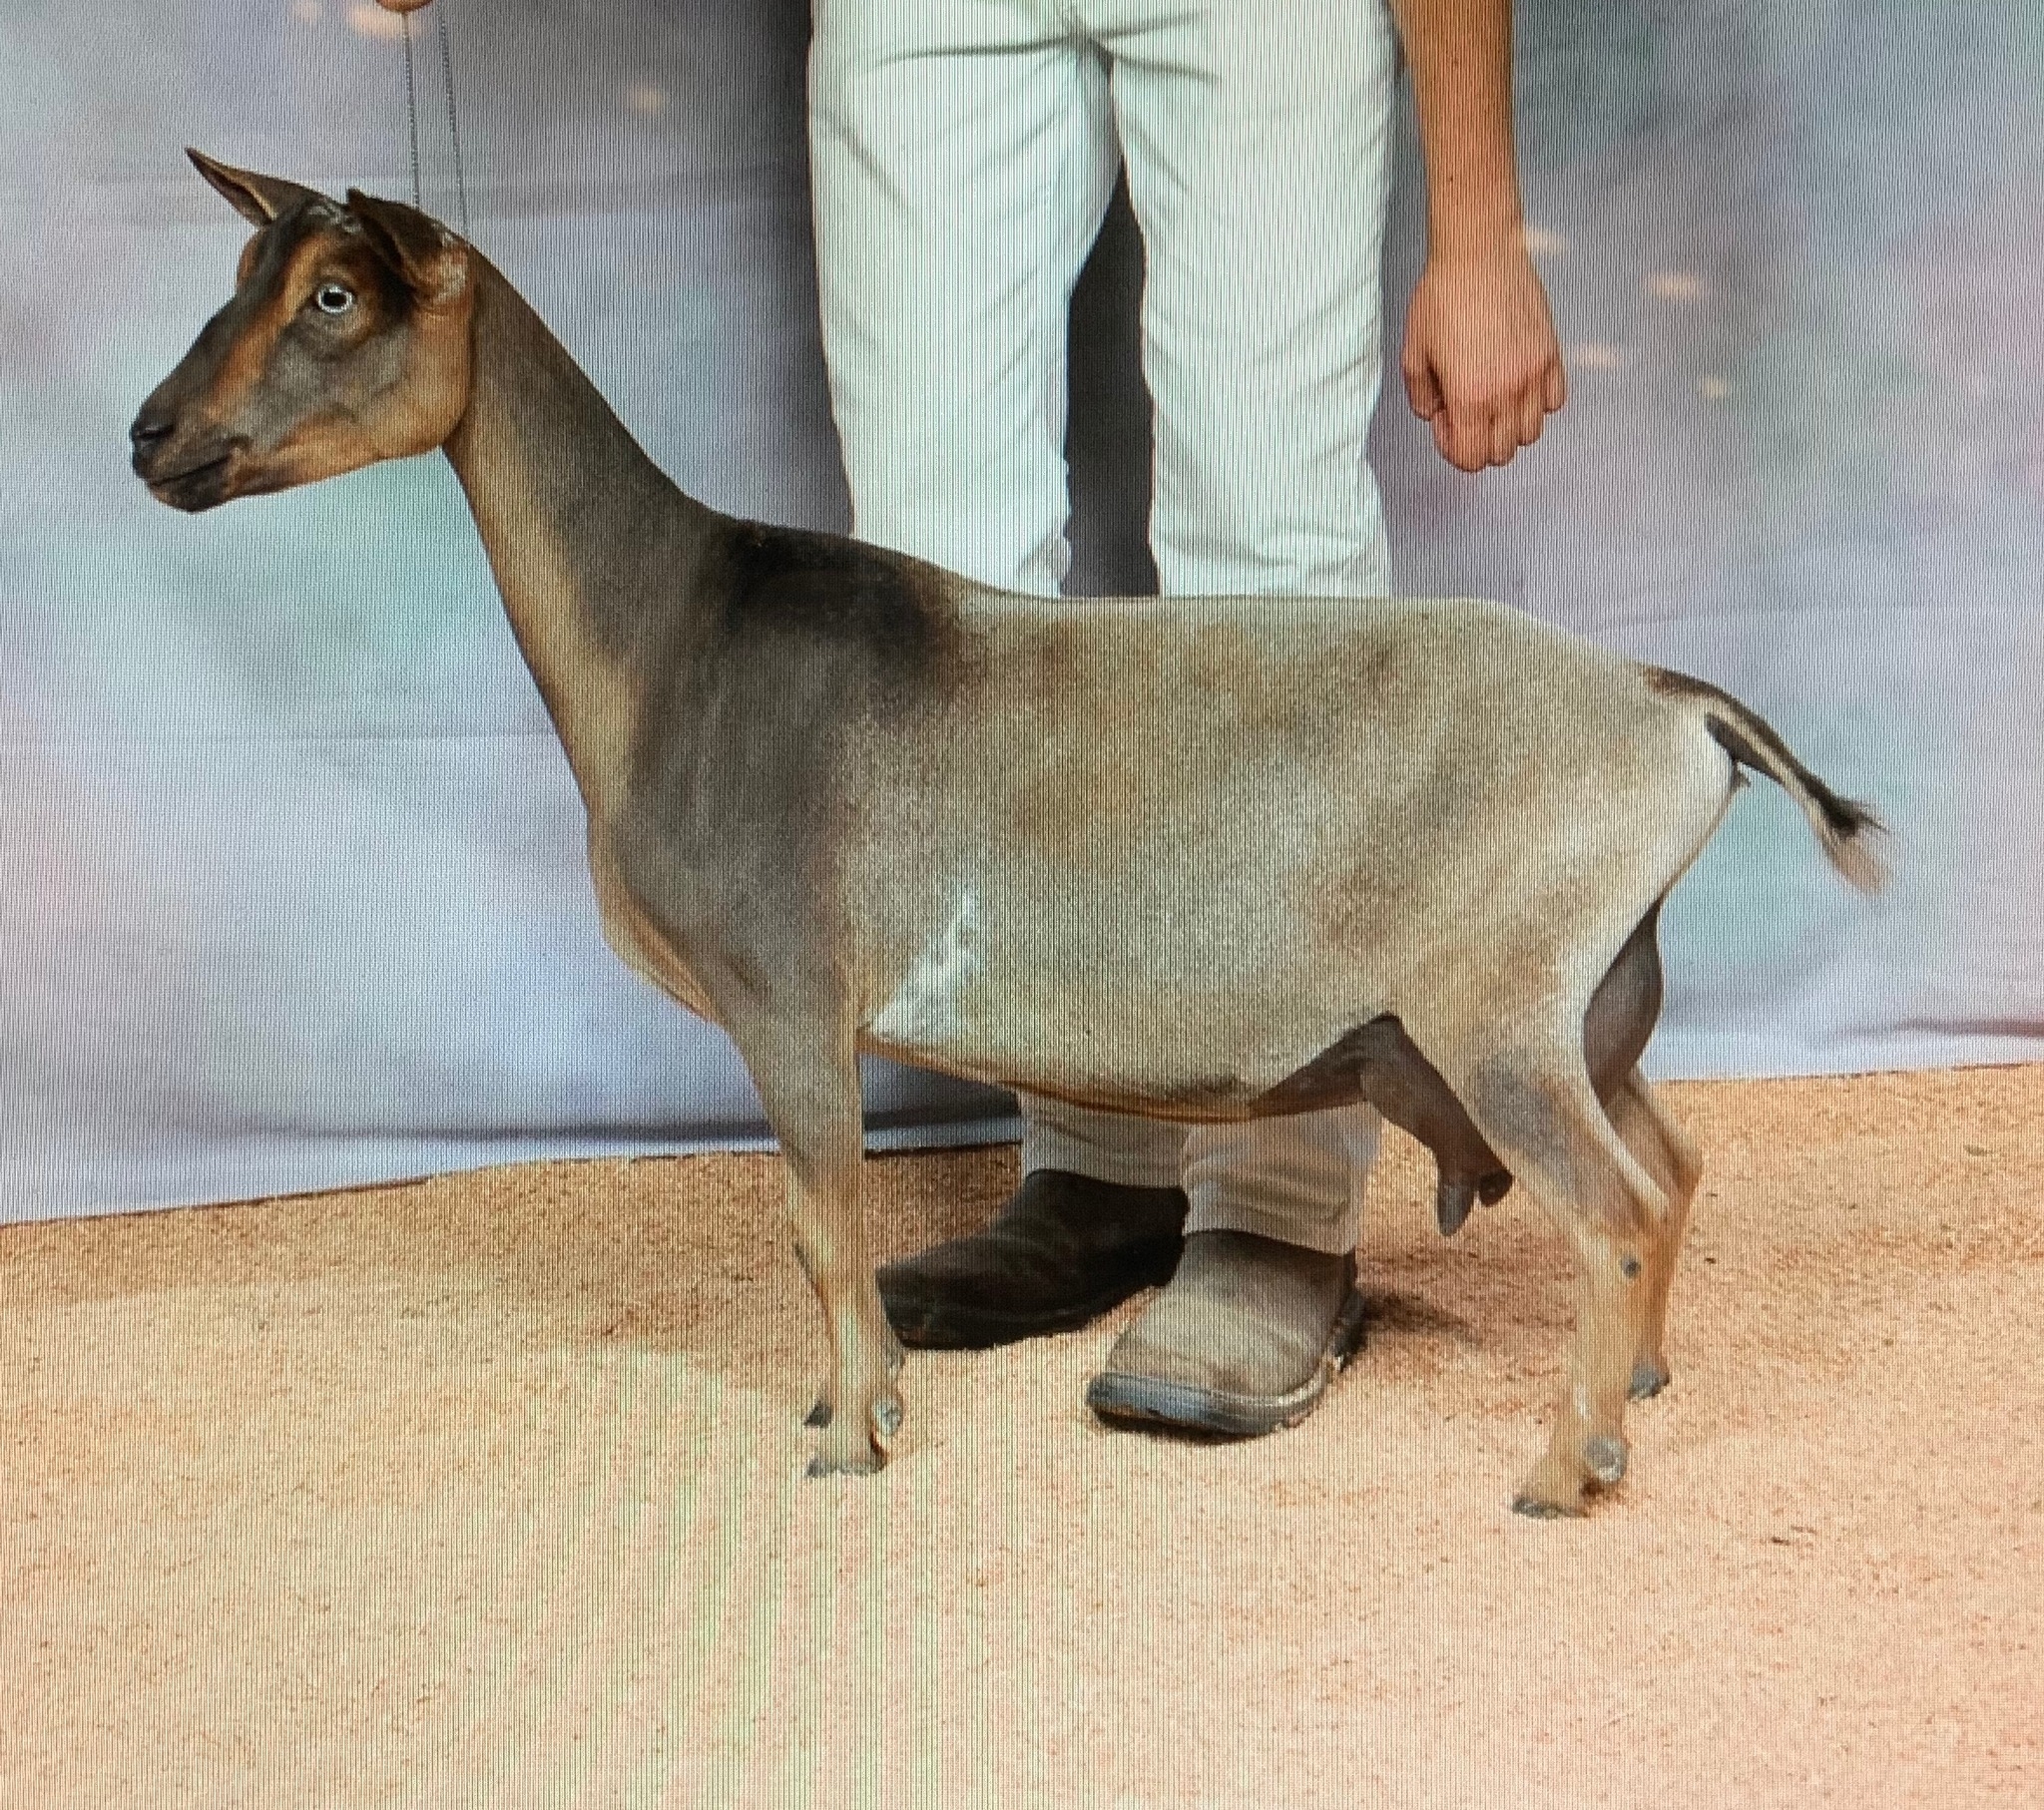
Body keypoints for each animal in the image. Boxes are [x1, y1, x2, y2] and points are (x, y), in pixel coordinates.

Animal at [129, 155, 1885, 1516]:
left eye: (336, 296)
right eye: (247, 272)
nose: (152, 437)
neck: (678, 632)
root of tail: (1675, 707)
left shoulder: (791, 996)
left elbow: (822, 1226)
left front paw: (855, 1431)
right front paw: (849, 1402)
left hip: (1500, 1007)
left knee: (1615, 1211)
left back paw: (1564, 1463)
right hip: (1592, 1000)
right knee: (1674, 1164)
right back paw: (1638, 1387)